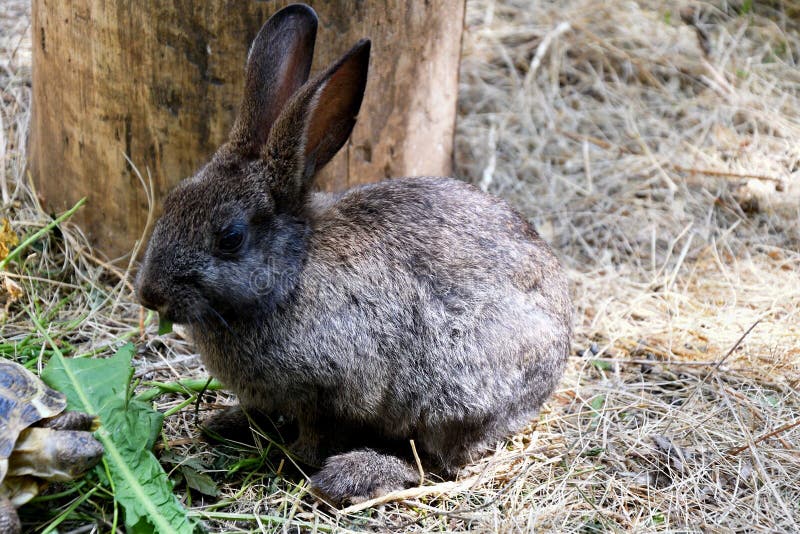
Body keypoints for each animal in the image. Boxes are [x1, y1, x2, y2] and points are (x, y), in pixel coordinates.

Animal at [136, 3, 573, 505]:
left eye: (230, 238)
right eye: (173, 199)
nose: (148, 295)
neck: (293, 269)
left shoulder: (328, 392)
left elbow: (316, 432)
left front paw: (292, 458)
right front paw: (232, 422)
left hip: (457, 392)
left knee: (436, 461)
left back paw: (354, 473)